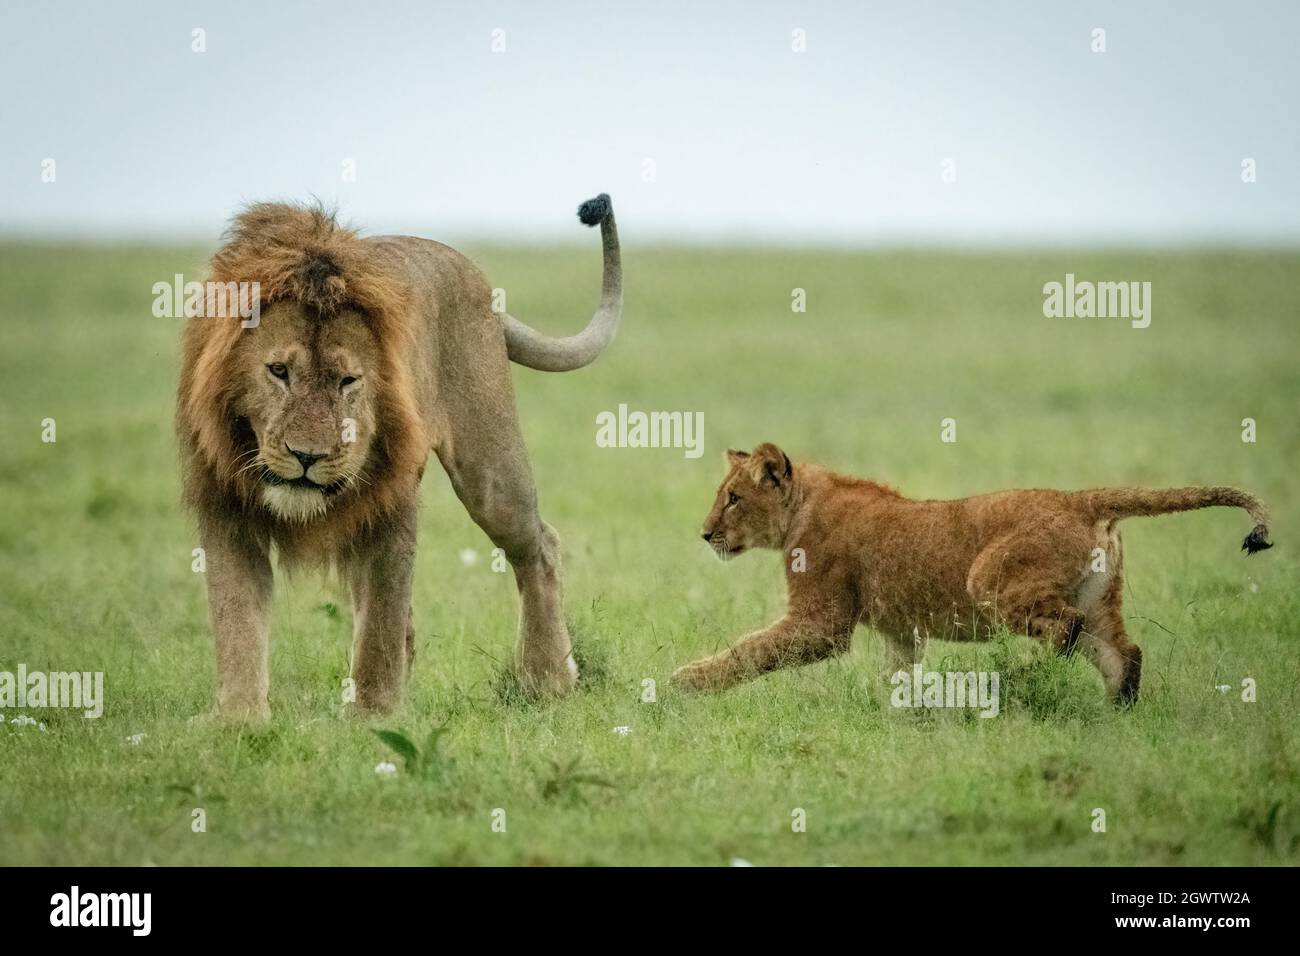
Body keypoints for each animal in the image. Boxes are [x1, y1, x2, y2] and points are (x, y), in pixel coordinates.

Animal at [177, 194, 622, 720]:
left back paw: (547, 678)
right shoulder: (224, 504)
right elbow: (237, 617)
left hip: (492, 472)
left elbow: (381, 621)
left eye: (349, 380)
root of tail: (464, 265)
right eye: (278, 371)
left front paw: (372, 715)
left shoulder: (392, 502)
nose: (307, 456)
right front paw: (239, 719)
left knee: (539, 546)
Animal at [672, 443, 1273, 705]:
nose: (703, 534)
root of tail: (1080, 498)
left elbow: (751, 650)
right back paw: (1115, 711)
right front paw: (899, 712)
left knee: (1065, 628)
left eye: (732, 499)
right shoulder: (901, 630)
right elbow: (898, 673)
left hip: (988, 578)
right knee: (1122, 652)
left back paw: (1023, 680)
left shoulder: (822, 621)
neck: (803, 504)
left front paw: (685, 682)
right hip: (1101, 599)